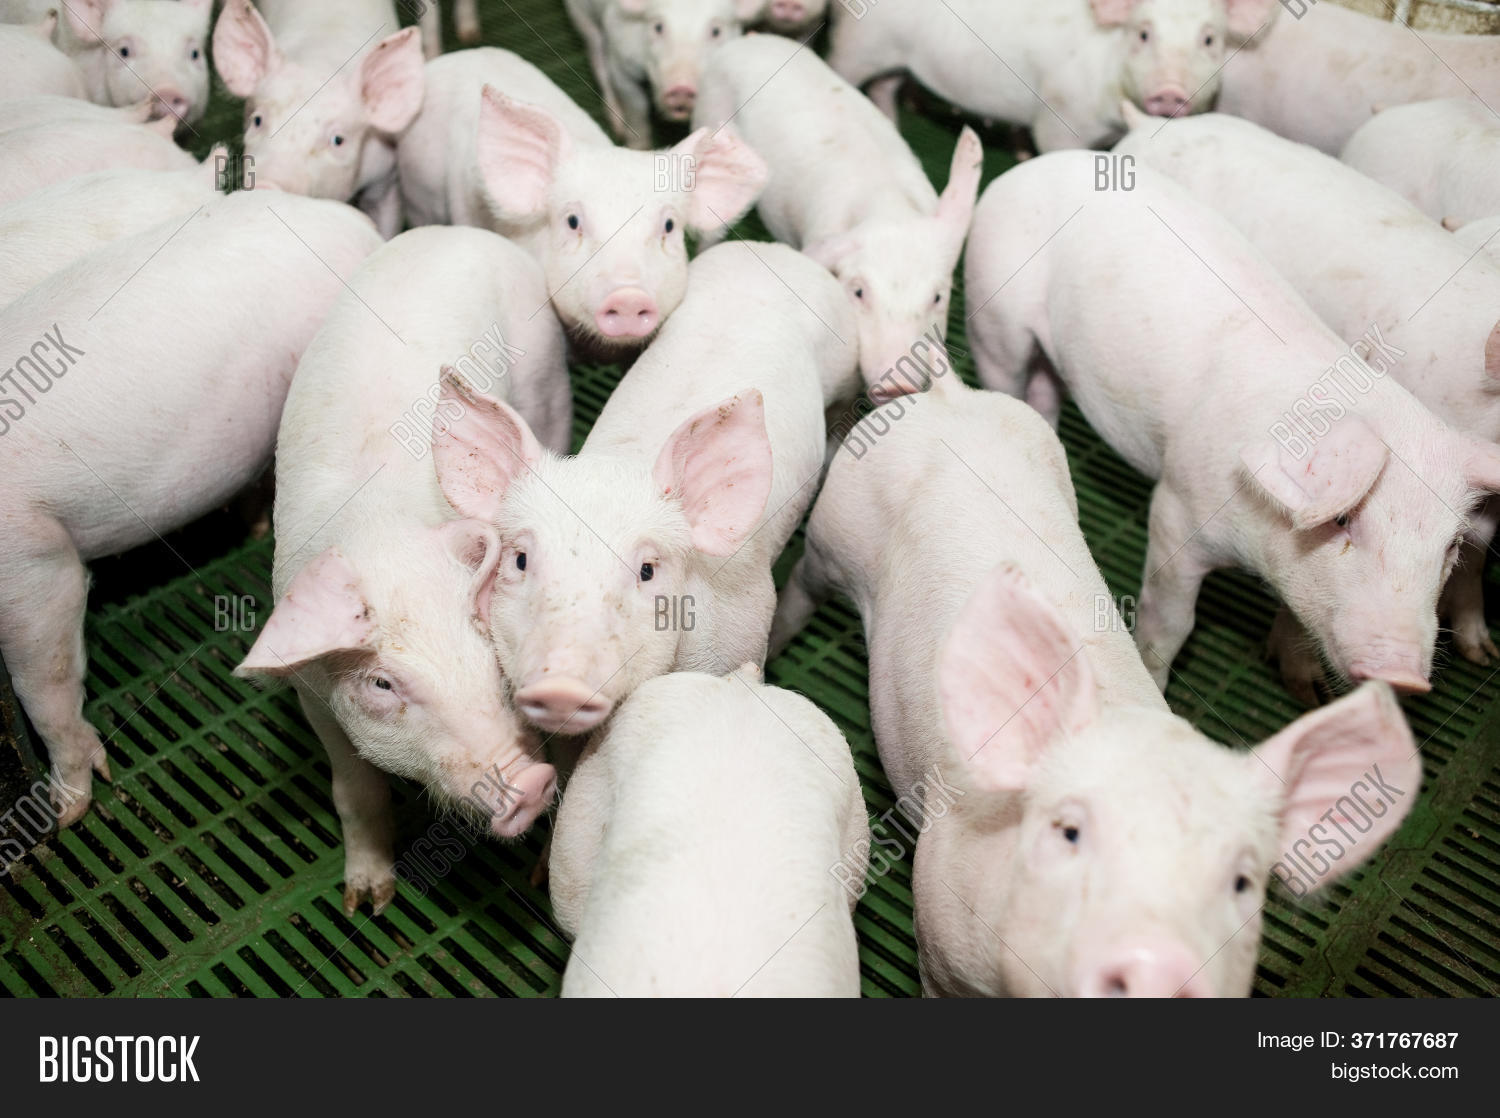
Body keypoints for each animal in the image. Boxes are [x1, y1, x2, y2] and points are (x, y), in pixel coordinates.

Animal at [236, 226, 572, 914]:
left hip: (549, 376)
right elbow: (353, 791)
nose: (528, 783)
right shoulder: (315, 697)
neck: (383, 534)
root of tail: (464, 230)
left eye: (489, 654)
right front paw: (366, 904)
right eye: (384, 684)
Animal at [563, 0, 759, 149]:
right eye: (658, 27)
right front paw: (638, 148)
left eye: (716, 31)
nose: (681, 87)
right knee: (597, 59)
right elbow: (636, 108)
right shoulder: (620, 60)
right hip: (581, 14)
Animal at [770, 375, 1420, 996]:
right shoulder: (938, 939)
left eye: (1242, 880)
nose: (1160, 964)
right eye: (1069, 832)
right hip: (833, 532)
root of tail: (949, 396)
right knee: (801, 583)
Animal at [826, 0, 1281, 151]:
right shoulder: (1062, 114)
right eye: (1143, 33)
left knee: (885, 85)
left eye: (1209, 39)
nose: (1170, 91)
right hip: (858, 41)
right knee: (842, 67)